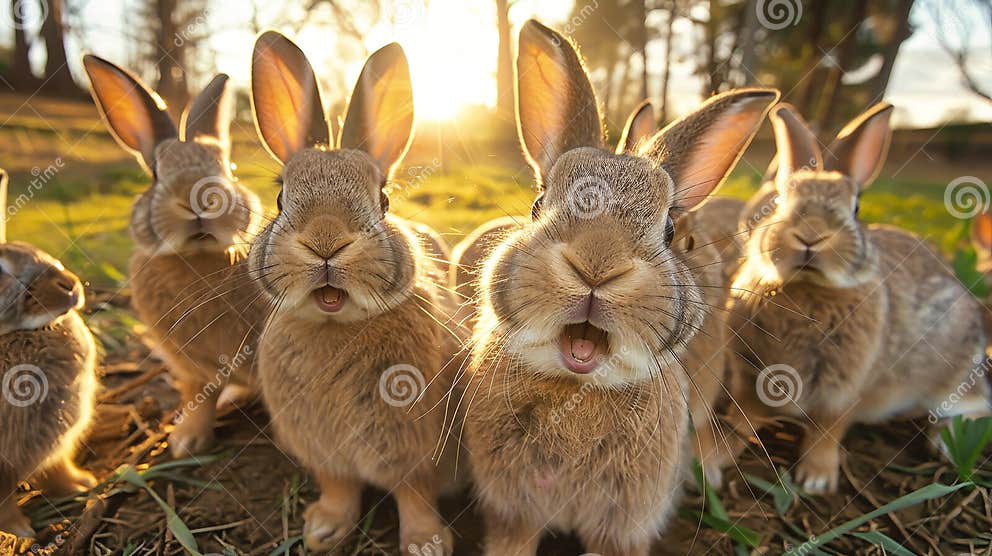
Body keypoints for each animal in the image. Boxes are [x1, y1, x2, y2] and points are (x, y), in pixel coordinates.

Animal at [82, 56, 266, 457]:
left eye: (228, 168)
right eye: (155, 173)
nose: (198, 197)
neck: (196, 259)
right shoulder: (190, 366)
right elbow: (198, 397)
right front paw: (186, 443)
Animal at [248, 31, 460, 554]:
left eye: (383, 199)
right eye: (279, 198)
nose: (326, 240)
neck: (335, 326)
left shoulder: (417, 451)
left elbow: (414, 492)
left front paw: (426, 544)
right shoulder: (326, 454)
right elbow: (339, 487)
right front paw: (324, 531)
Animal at [462, 19, 778, 556]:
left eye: (668, 231)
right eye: (538, 205)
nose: (597, 265)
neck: (576, 389)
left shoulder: (622, 525)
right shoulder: (513, 509)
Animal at [710, 102, 990, 494]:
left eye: (856, 207)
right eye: (780, 201)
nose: (811, 235)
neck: (806, 289)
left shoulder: (845, 385)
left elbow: (828, 429)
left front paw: (816, 479)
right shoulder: (748, 375)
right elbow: (742, 416)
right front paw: (715, 455)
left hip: (954, 373)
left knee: (977, 405)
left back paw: (943, 441)